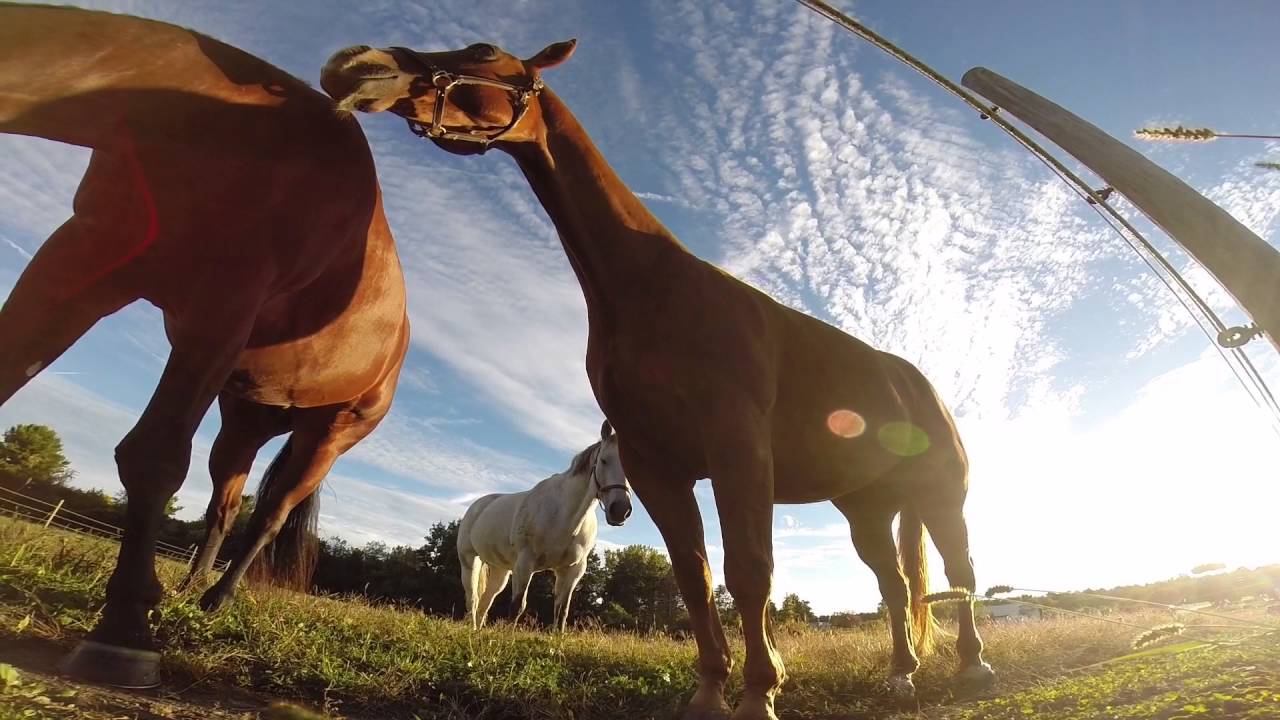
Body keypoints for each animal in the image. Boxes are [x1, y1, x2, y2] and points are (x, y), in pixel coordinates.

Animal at [0, 5, 409, 688]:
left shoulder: (223, 305)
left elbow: (154, 457)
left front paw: (124, 630)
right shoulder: (84, 261)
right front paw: (142, 606)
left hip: (328, 435)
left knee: (269, 516)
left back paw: (217, 601)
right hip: (243, 420)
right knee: (226, 504)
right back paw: (189, 590)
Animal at [457, 420, 631, 631]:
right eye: (604, 460)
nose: (620, 510)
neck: (565, 515)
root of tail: (477, 506)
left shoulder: (572, 570)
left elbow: (562, 612)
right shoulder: (525, 563)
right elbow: (518, 606)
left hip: (501, 570)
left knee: (485, 602)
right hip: (469, 561)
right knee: (472, 599)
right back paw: (472, 628)